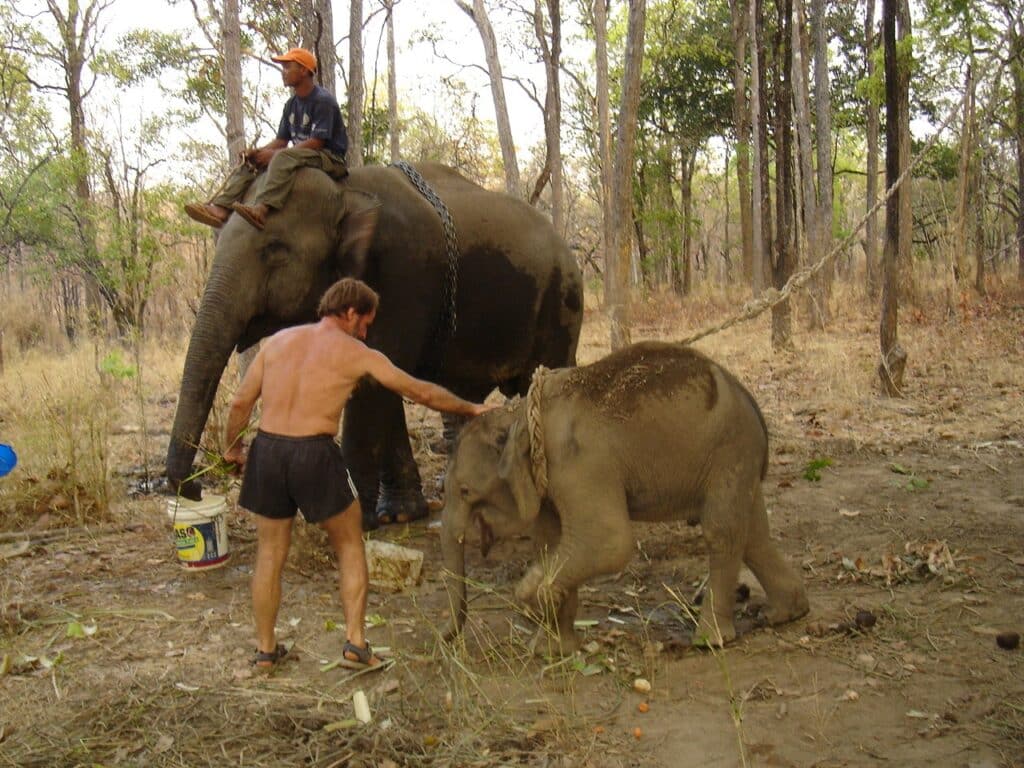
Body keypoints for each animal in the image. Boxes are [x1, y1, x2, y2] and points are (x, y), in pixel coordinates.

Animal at [165, 162, 584, 530]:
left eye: (275, 249)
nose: (193, 488)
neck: (346, 189)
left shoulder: (403, 272)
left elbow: (370, 383)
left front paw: (351, 521)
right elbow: (385, 376)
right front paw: (398, 515)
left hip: (563, 301)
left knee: (546, 382)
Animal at [440, 341, 809, 654]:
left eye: (465, 491)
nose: (445, 639)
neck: (521, 418)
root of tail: (750, 402)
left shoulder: (580, 464)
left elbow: (607, 541)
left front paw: (529, 595)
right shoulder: (548, 483)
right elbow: (556, 543)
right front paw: (552, 650)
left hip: (729, 452)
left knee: (722, 531)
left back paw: (709, 639)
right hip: (739, 458)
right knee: (753, 534)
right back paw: (785, 613)